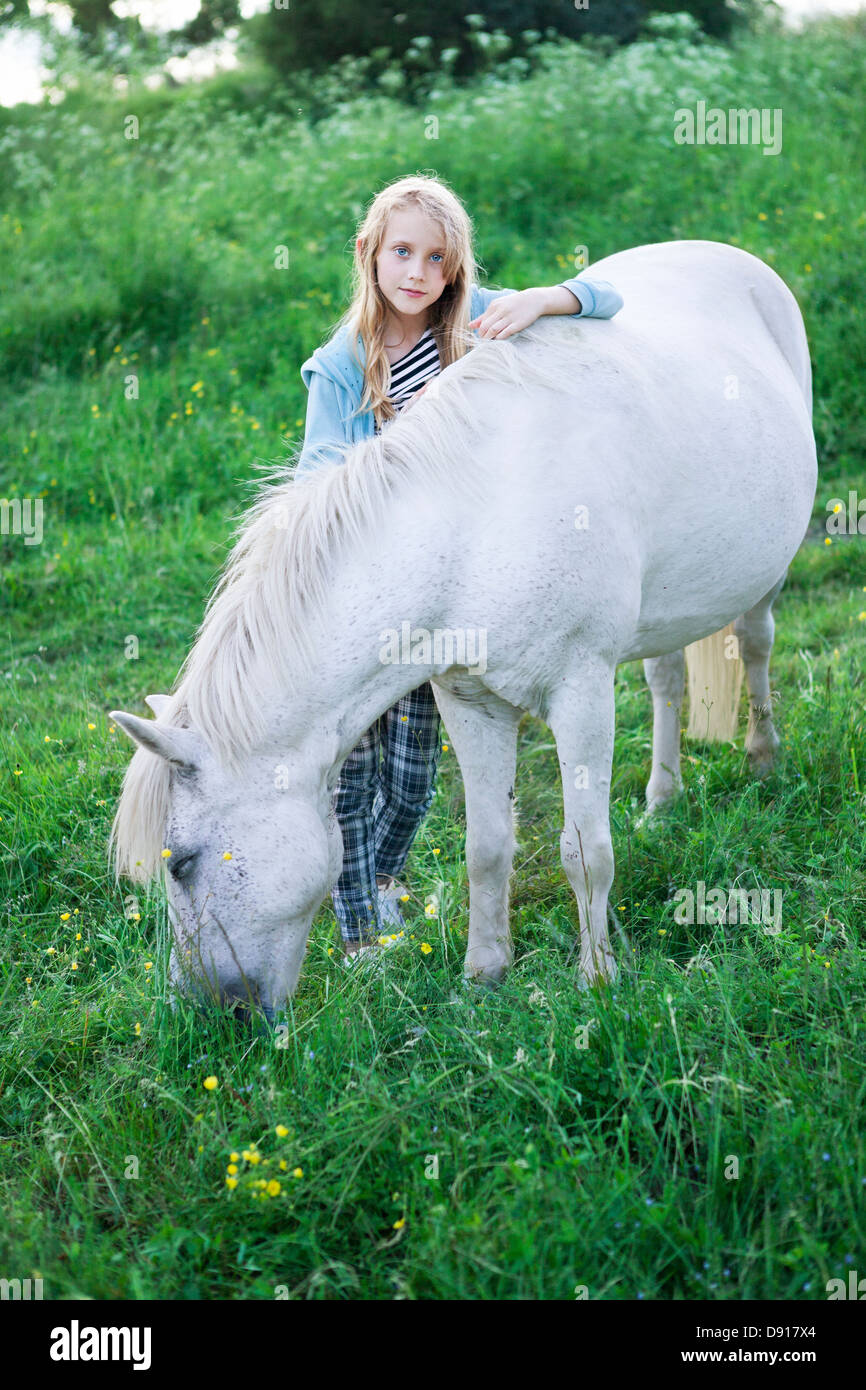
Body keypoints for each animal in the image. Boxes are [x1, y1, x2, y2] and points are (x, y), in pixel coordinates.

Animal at [110, 239, 817, 1018]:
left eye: (182, 863)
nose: (207, 1014)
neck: (474, 527)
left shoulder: (581, 695)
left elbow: (585, 850)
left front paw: (597, 978)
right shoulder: (470, 701)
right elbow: (487, 849)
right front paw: (484, 973)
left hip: (766, 574)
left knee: (756, 644)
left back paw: (762, 758)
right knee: (665, 677)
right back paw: (662, 803)